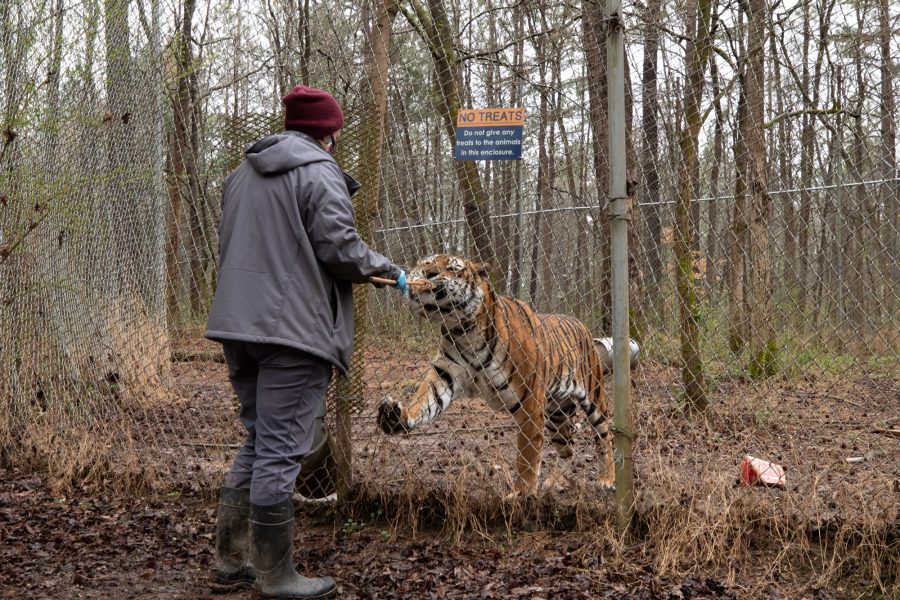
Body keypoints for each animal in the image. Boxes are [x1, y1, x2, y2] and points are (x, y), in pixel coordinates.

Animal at [377, 253, 614, 497]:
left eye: (454, 268)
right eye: (426, 263)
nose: (428, 274)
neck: (463, 328)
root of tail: (582, 325)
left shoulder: (530, 403)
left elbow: (527, 454)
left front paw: (522, 494)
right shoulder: (445, 375)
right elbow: (424, 399)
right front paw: (396, 417)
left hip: (594, 398)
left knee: (606, 438)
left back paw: (606, 479)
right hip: (556, 414)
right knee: (567, 449)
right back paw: (556, 481)